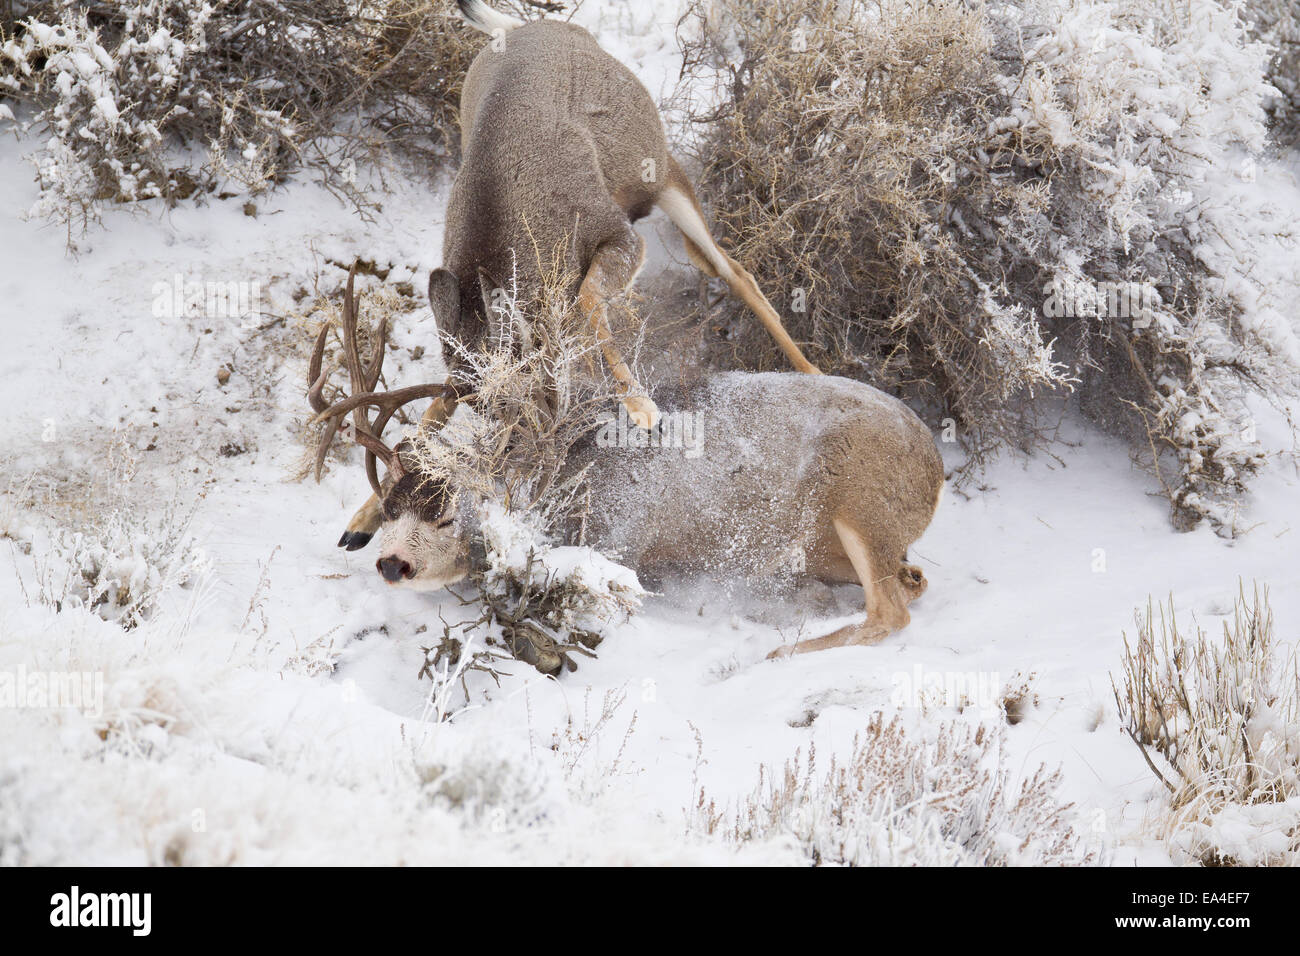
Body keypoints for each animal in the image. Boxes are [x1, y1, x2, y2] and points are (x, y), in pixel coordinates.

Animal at [306, 273, 944, 657]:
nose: (392, 563)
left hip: (862, 501)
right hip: (829, 546)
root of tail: (936, 465)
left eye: (444, 516)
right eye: (390, 508)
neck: (556, 483)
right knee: (912, 582)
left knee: (891, 612)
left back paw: (777, 651)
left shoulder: (619, 539)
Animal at [331, 0, 822, 553]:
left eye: (518, 396)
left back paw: (814, 374)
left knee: (733, 271)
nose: (524, 457)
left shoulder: (618, 235)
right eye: (486, 407)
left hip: (661, 170)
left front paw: (644, 410)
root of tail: (531, 26)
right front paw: (364, 516)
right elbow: (434, 409)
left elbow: (588, 300)